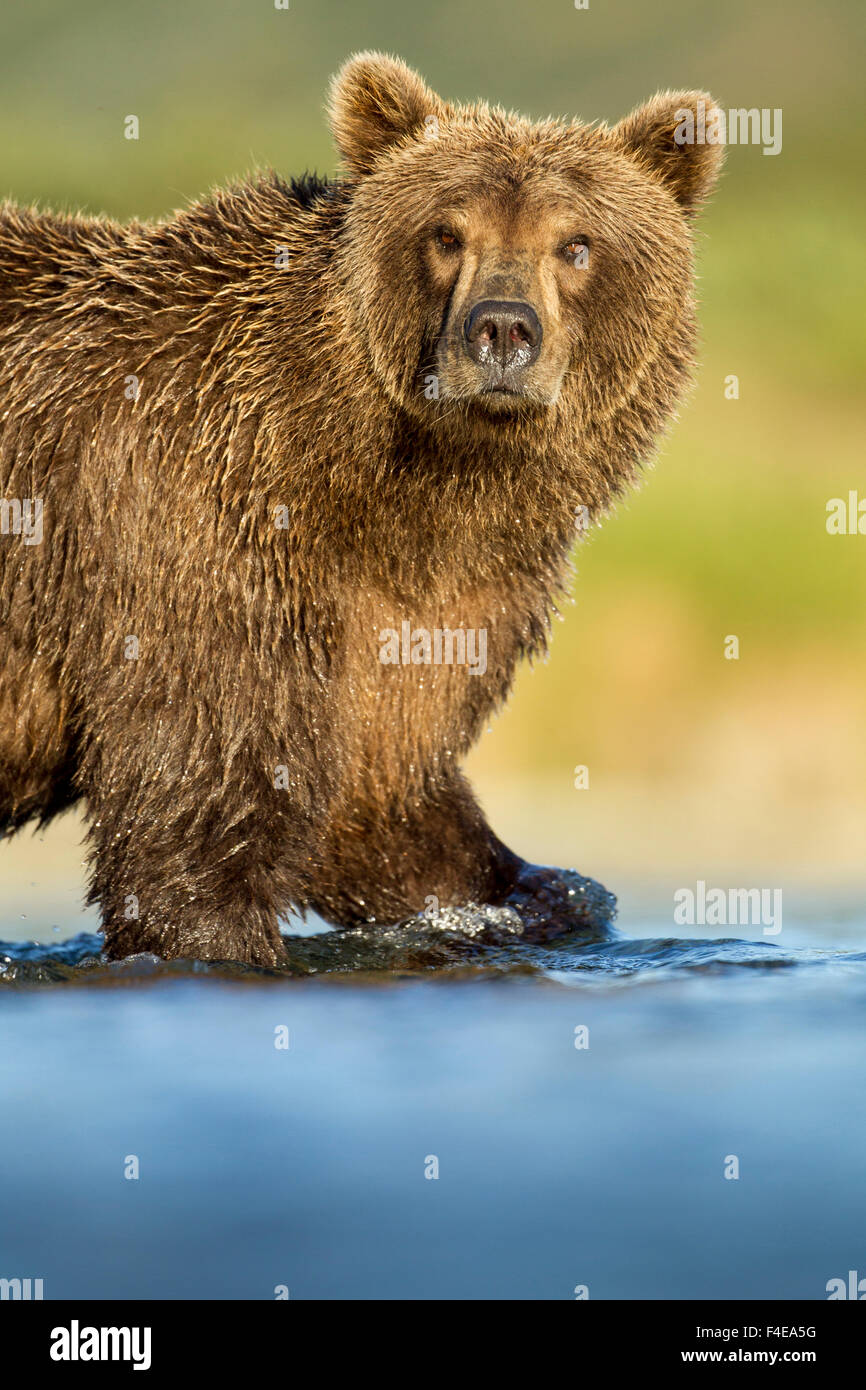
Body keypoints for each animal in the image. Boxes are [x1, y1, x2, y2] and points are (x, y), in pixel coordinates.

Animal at [0, 53, 723, 966]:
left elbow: (386, 801)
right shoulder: (193, 534)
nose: (502, 330)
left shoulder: (422, 608)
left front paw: (533, 899)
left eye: (576, 243)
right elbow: (197, 814)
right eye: (447, 233)